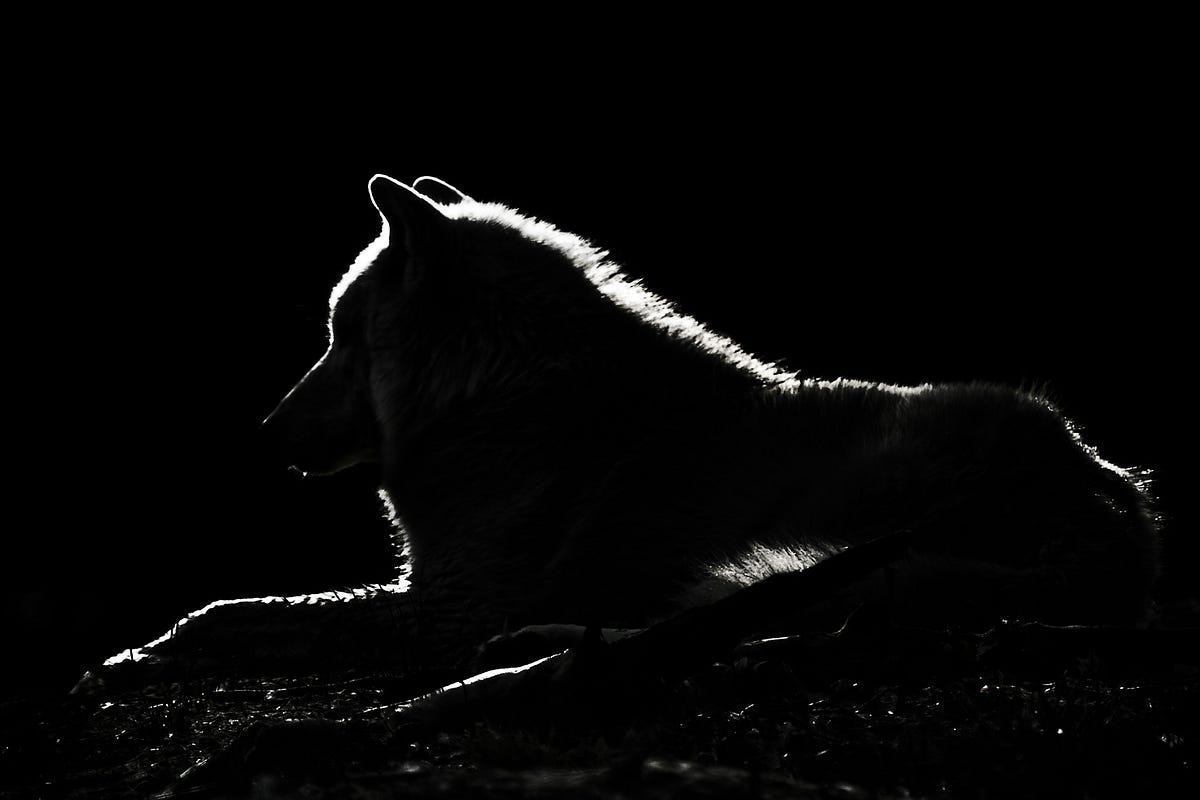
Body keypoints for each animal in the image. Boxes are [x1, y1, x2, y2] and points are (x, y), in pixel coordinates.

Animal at [83, 174, 1160, 687]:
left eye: (343, 336)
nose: (266, 430)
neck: (497, 398)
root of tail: (1123, 526)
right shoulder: (434, 597)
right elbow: (254, 609)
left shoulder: (444, 606)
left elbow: (248, 612)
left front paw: (144, 653)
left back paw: (549, 648)